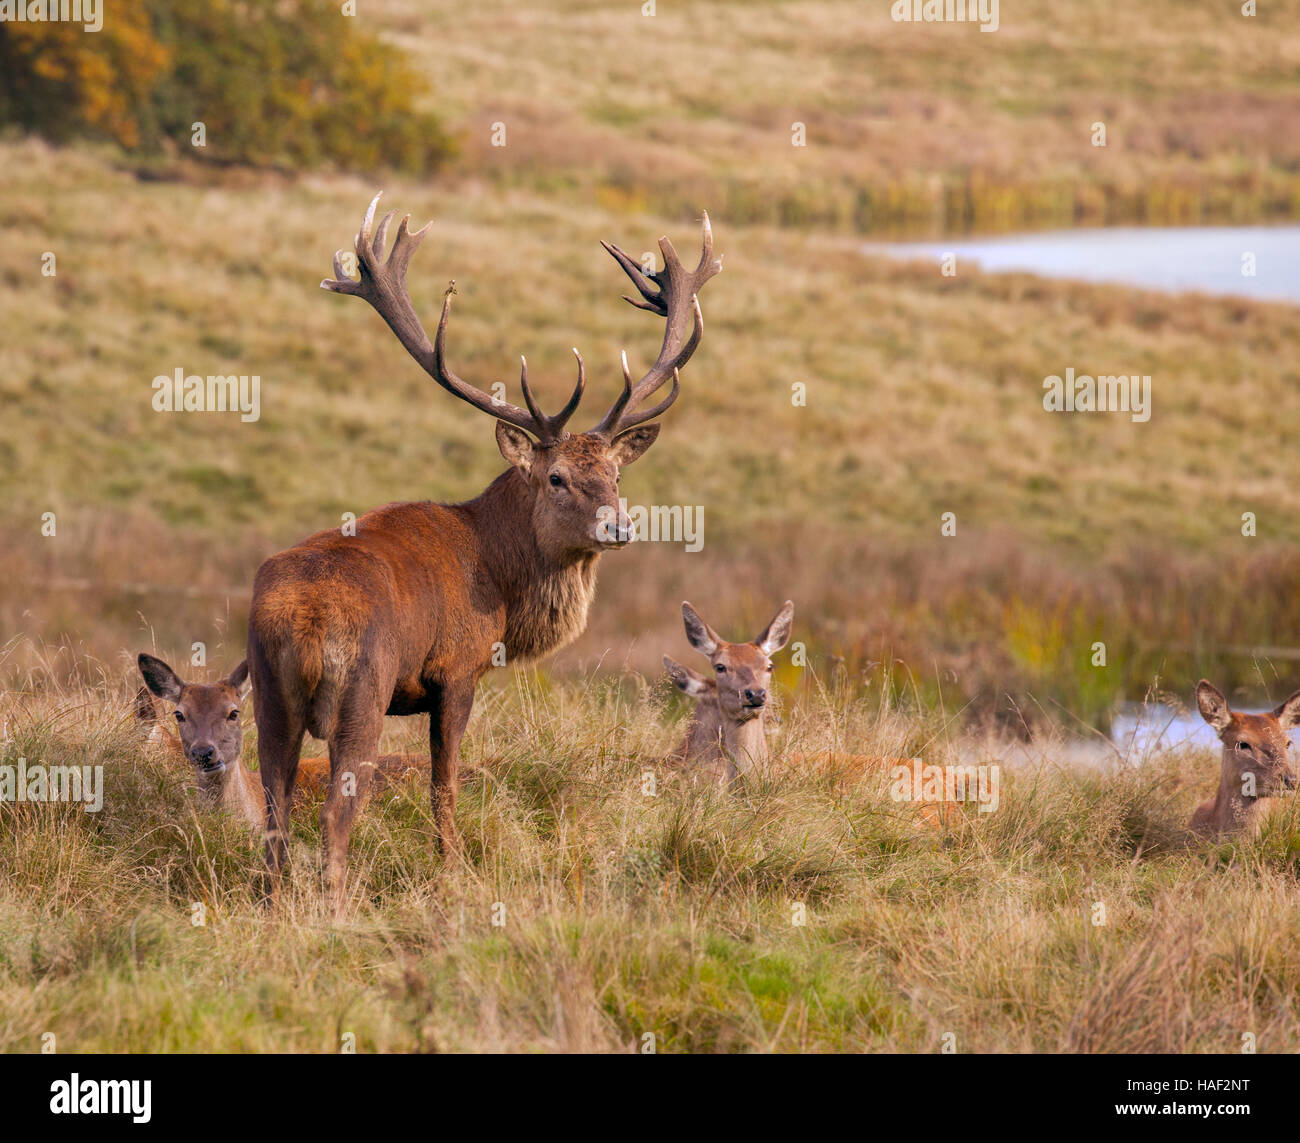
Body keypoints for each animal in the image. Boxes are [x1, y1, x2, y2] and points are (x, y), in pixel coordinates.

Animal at [248, 194, 721, 909]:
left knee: (274, 804)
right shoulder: (457, 668)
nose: (620, 527)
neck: (501, 583)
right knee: (335, 807)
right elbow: (444, 784)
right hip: (362, 690)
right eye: (557, 478)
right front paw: (454, 873)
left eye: (616, 474)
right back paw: (336, 903)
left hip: (265, 693)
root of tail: (302, 619)